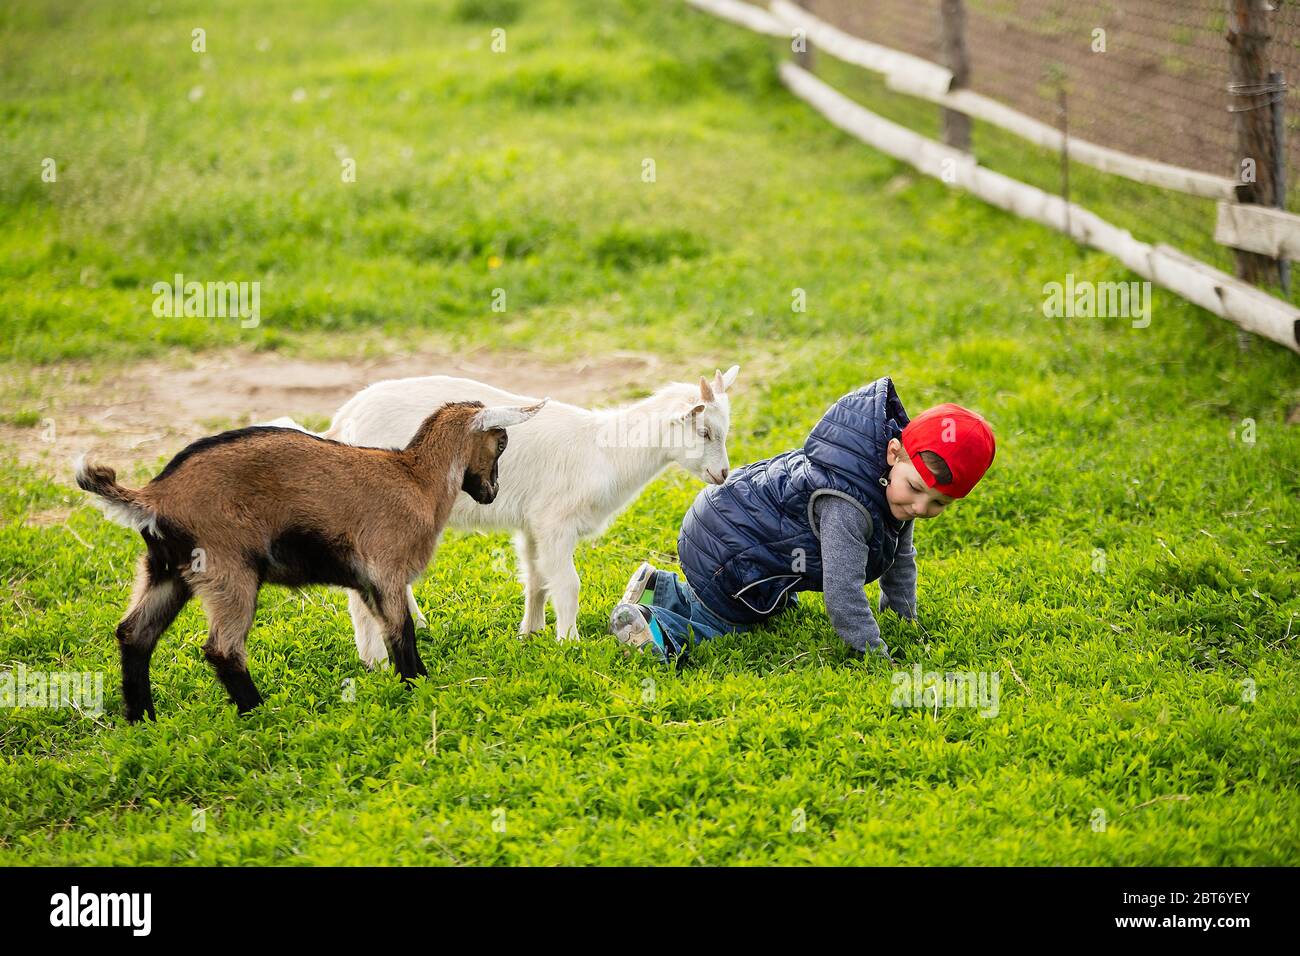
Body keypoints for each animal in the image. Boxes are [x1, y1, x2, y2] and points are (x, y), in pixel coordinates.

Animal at [75, 399, 544, 721]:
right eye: (501, 442)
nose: (491, 492)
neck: (415, 480)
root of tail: (153, 497)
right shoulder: (387, 569)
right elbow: (402, 630)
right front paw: (418, 686)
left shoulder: (370, 582)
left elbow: (387, 631)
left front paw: (412, 682)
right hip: (227, 568)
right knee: (223, 648)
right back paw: (260, 713)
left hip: (166, 571)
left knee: (134, 633)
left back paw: (142, 719)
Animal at [298, 366, 740, 661]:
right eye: (704, 432)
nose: (722, 474)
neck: (604, 450)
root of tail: (343, 421)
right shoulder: (555, 521)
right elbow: (568, 584)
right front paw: (569, 642)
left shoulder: (533, 525)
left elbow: (537, 579)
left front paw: (532, 632)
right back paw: (373, 659)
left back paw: (416, 625)